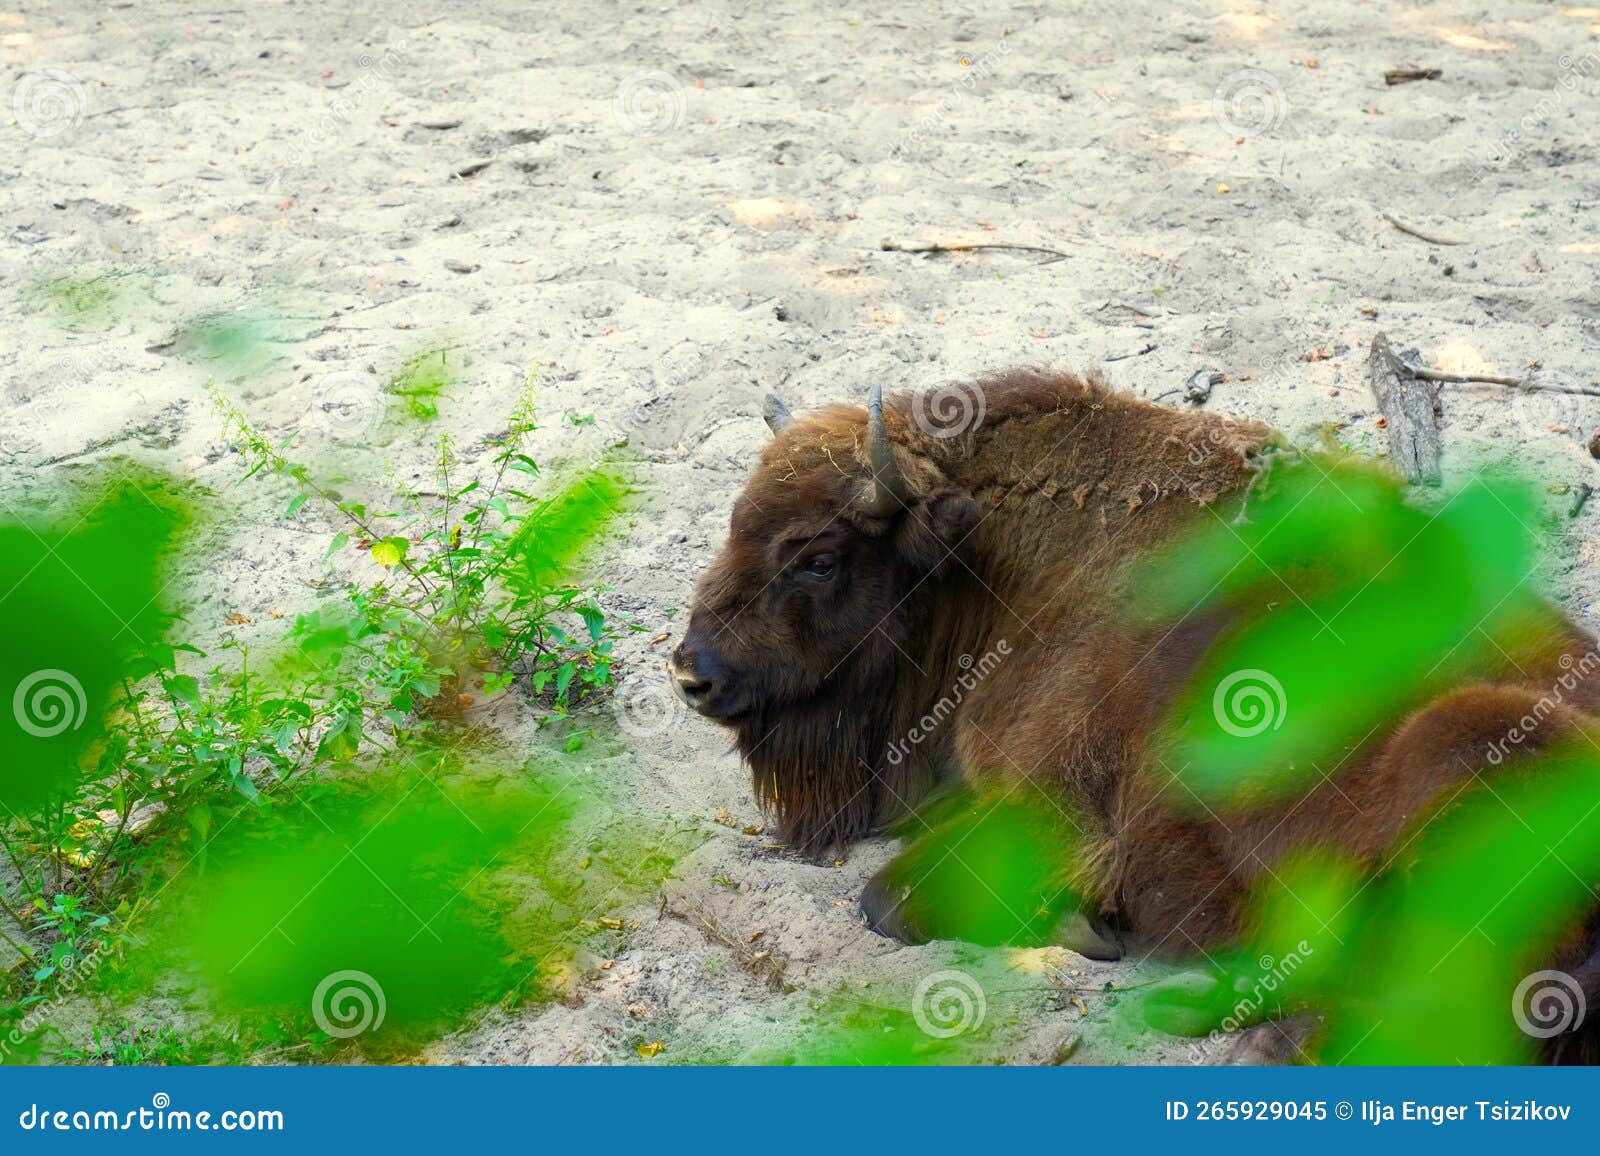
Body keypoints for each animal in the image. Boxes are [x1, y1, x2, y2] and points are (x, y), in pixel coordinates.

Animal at [670, 368, 1600, 1062]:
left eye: (819, 559)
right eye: (734, 523)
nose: (690, 674)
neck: (1004, 565)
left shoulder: (1051, 807)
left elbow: (883, 899)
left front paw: (1084, 926)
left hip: (1471, 742)